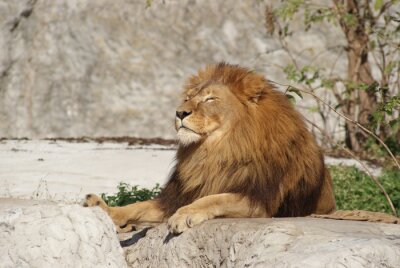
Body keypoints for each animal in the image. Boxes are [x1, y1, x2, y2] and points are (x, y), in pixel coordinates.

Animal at [84, 61, 338, 233]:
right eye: (188, 97)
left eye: (210, 99)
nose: (179, 112)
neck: (215, 151)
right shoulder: (175, 196)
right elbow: (137, 206)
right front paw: (102, 207)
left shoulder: (259, 201)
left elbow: (215, 198)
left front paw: (185, 214)